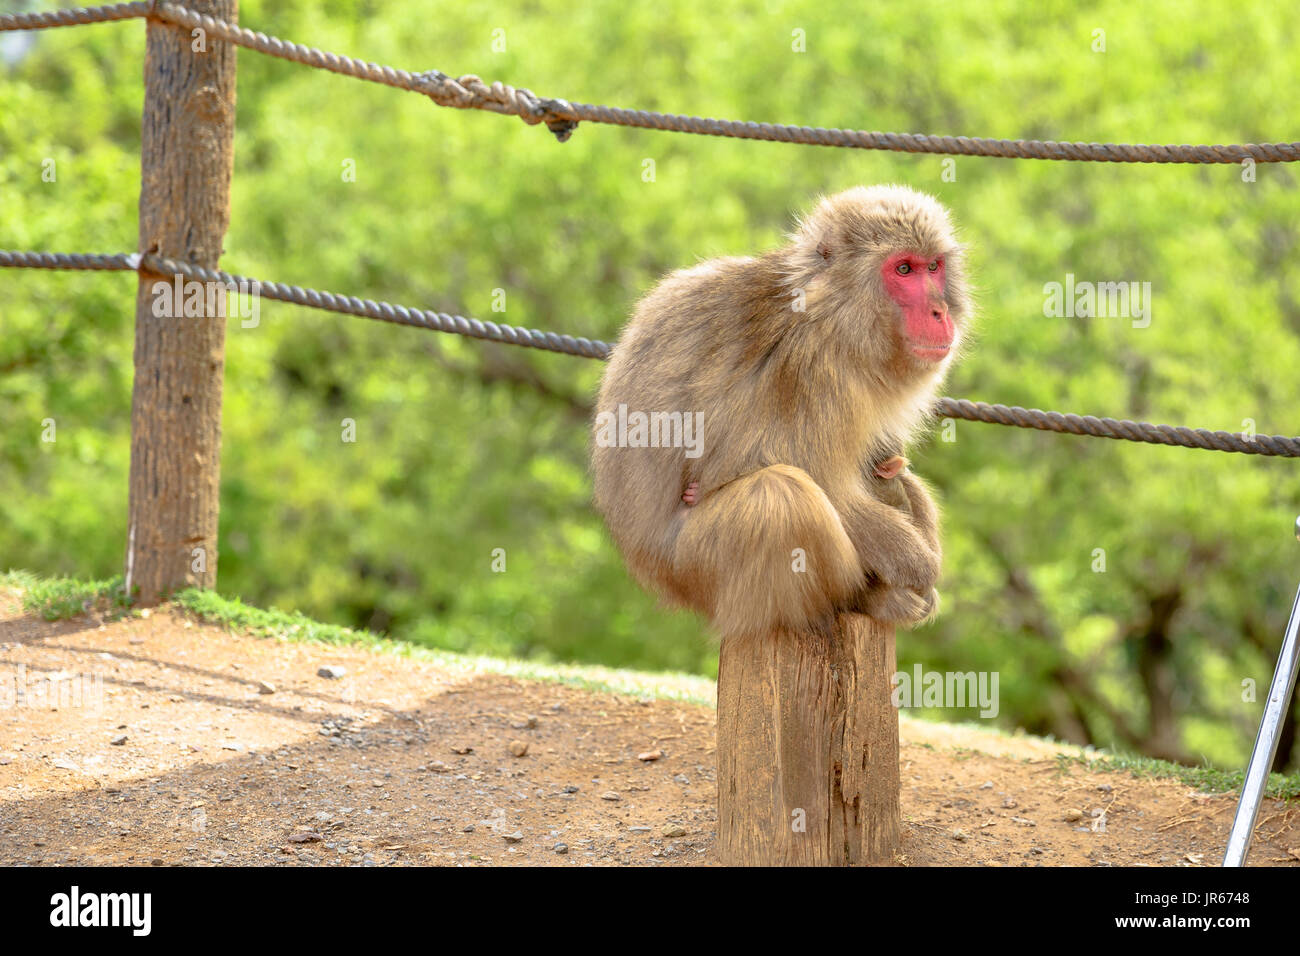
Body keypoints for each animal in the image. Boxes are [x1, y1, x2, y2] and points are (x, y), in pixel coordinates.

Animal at [591, 184, 971, 642]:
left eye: (933, 267)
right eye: (903, 269)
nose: (939, 311)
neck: (830, 312)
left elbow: (881, 466)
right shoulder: (813, 369)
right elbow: (818, 478)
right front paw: (917, 564)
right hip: (696, 570)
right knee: (779, 495)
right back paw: (862, 599)